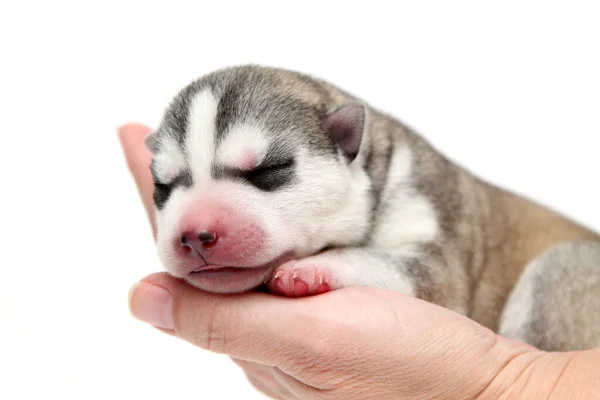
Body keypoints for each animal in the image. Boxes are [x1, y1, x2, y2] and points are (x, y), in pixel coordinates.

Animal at [145, 65, 600, 350]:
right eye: (163, 186)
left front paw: (315, 268)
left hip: (566, 273)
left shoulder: (433, 236)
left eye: (270, 170)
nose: (193, 235)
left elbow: (399, 265)